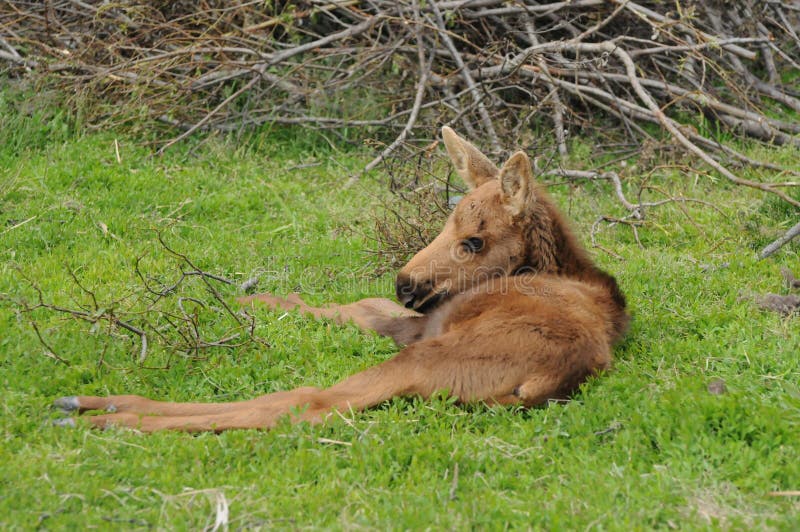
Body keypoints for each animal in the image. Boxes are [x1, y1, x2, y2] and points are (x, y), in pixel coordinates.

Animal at [53, 127, 629, 432]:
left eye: (473, 241)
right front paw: (259, 299)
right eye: (446, 223)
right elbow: (359, 305)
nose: (406, 283)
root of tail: (548, 380)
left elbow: (357, 308)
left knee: (307, 401)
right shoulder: (419, 317)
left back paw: (102, 412)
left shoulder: (423, 325)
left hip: (427, 359)